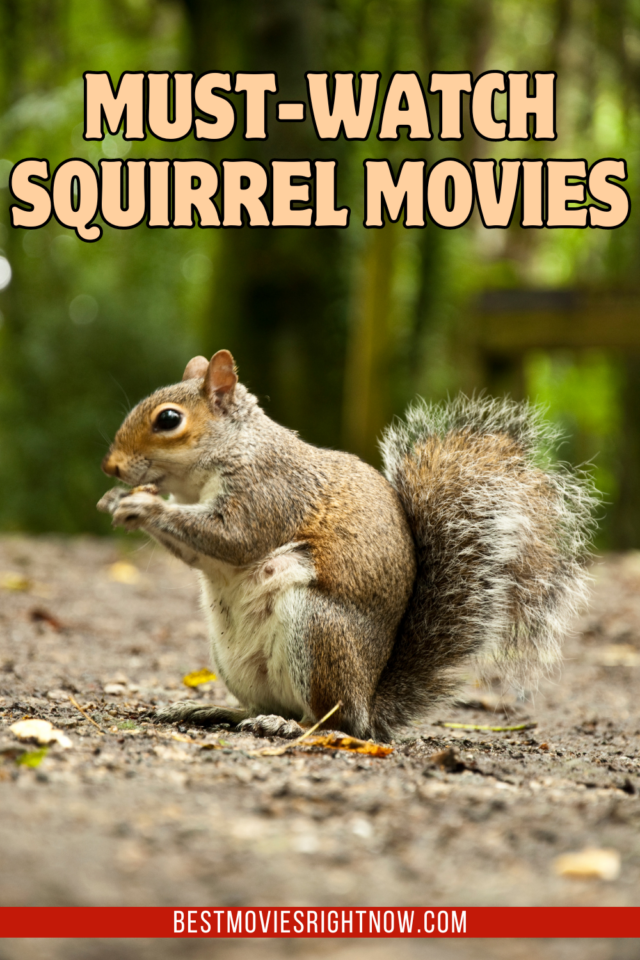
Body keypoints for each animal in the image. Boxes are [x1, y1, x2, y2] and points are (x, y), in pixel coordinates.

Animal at [97, 349, 596, 741]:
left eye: (168, 420)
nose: (111, 467)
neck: (232, 450)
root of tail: (368, 703)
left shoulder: (271, 493)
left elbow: (234, 540)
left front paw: (143, 506)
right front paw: (117, 501)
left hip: (317, 631)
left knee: (329, 722)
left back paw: (289, 726)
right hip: (233, 658)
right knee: (265, 705)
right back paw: (213, 709)